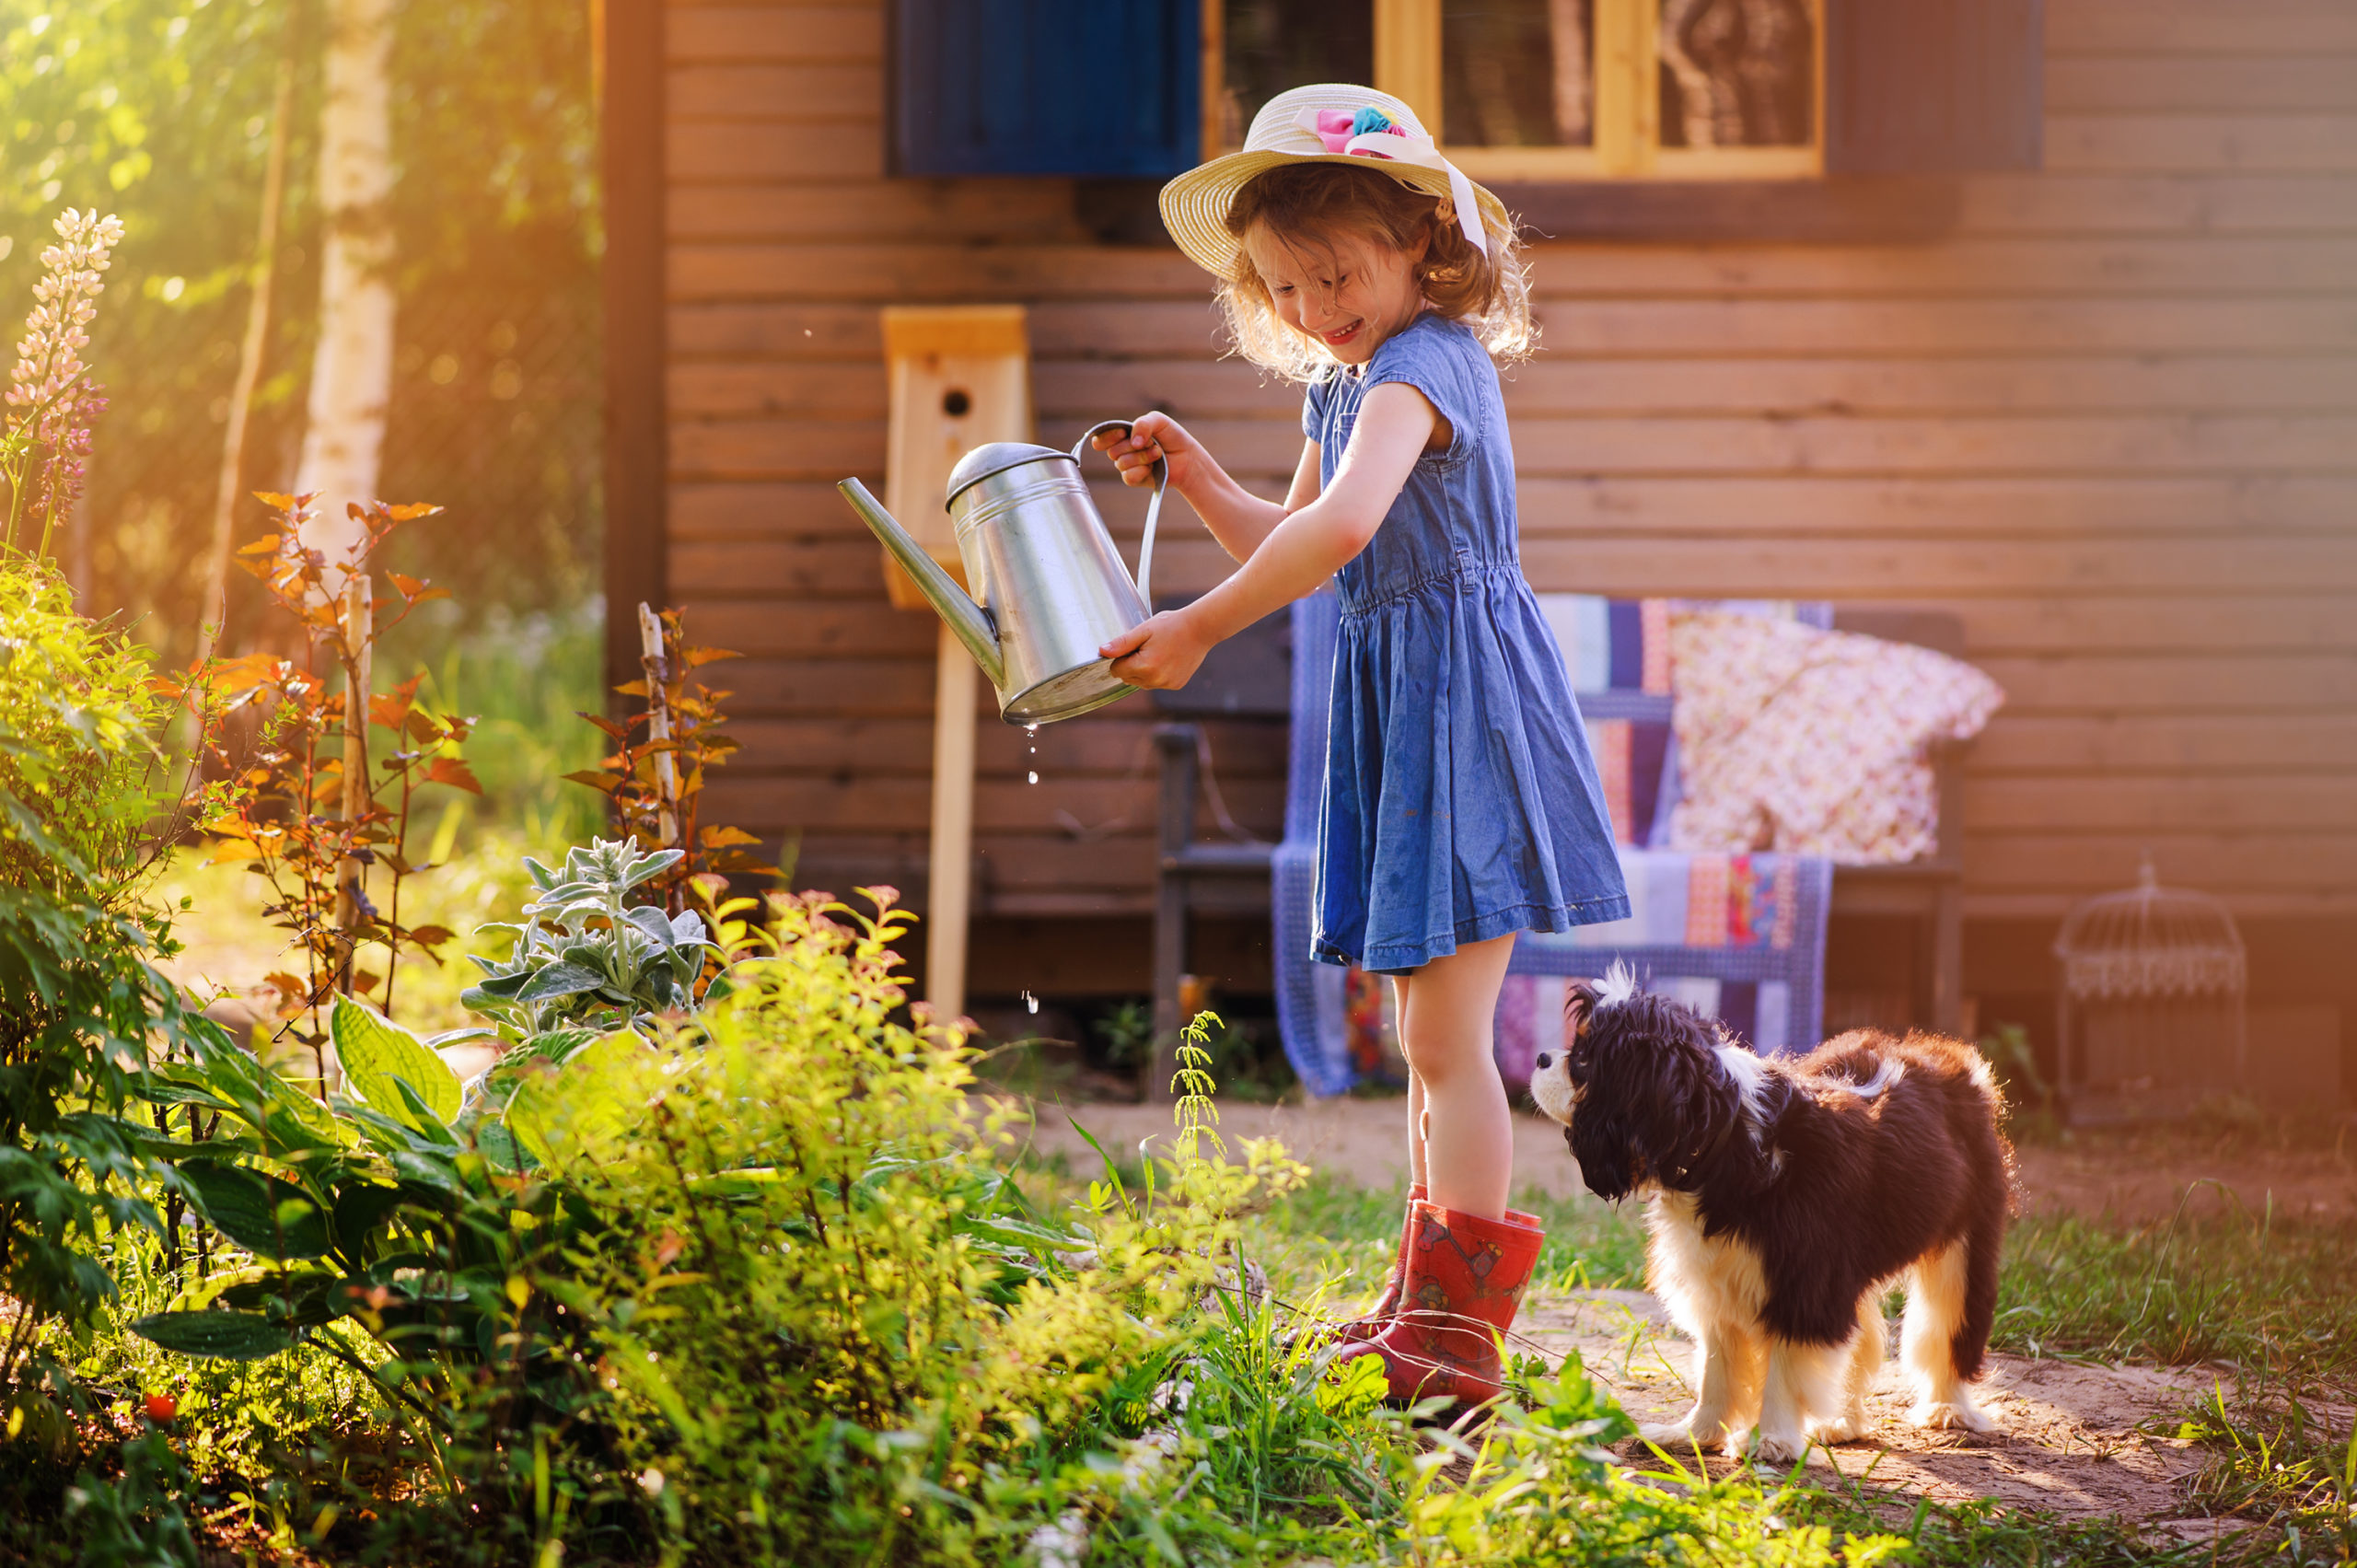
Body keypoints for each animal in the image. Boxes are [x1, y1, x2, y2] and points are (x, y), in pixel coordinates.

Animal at [1527, 961, 2008, 1461]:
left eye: (1583, 1061)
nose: (1540, 1057)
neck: (1724, 1135)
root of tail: (1934, 1049)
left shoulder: (1805, 1284)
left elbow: (1785, 1367)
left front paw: (1771, 1441)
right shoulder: (1721, 1282)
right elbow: (1717, 1368)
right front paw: (1696, 1433)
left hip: (1962, 1247)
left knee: (1947, 1324)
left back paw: (1949, 1409)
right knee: (1864, 1337)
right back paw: (1842, 1421)